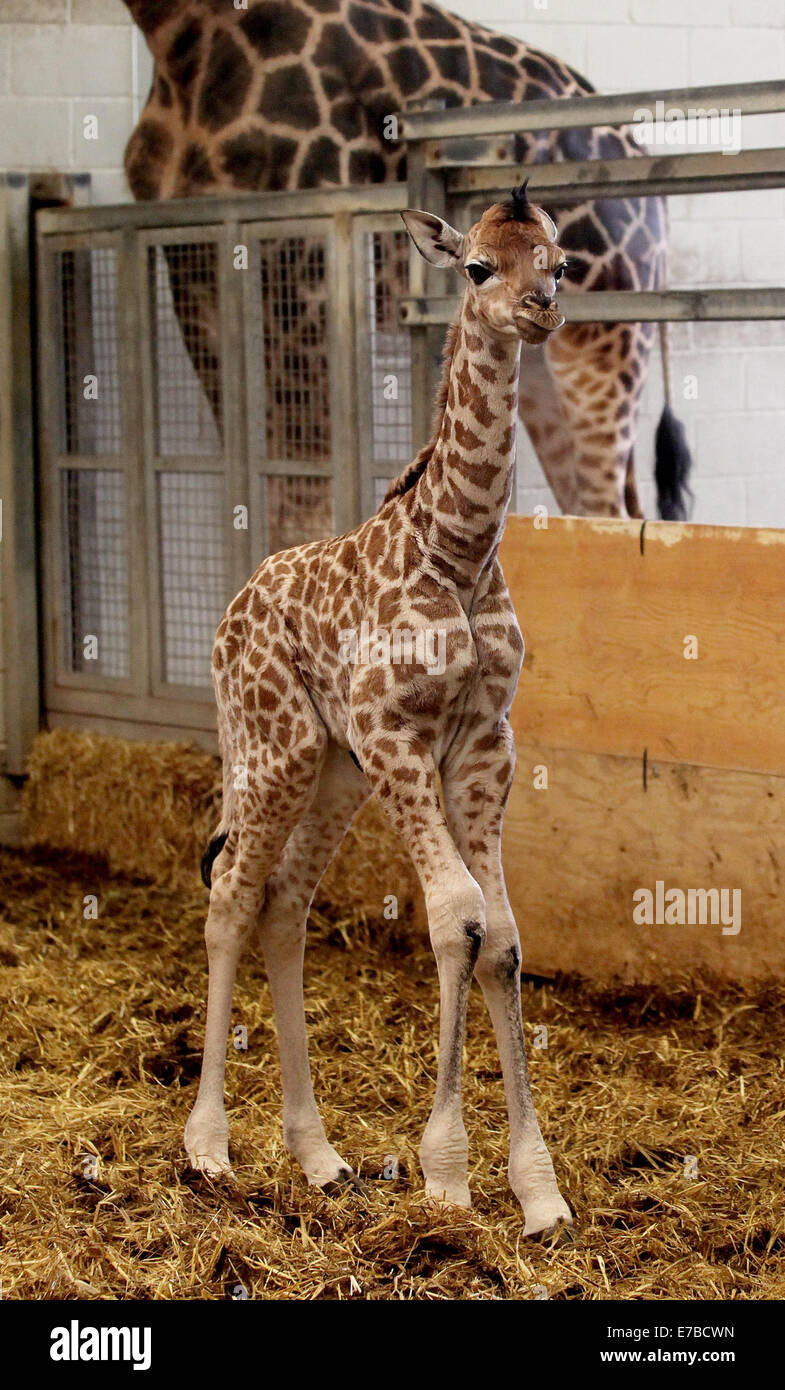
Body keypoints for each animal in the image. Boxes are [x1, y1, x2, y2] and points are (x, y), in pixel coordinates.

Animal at [122, 0, 692, 522]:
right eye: (479, 270)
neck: (178, 37)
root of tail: (658, 201)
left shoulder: (303, 257)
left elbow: (303, 493)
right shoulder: (197, 265)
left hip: (608, 340)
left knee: (609, 509)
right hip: (549, 363)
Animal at [184, 184, 573, 1236]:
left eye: (558, 261)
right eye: (476, 266)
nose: (538, 309)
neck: (460, 548)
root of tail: (228, 612)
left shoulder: (484, 744)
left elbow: (504, 938)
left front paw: (537, 1192)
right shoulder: (397, 734)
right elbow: (455, 919)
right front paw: (446, 1176)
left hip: (331, 770)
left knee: (284, 903)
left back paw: (317, 1156)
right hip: (273, 749)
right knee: (230, 893)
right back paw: (207, 1147)